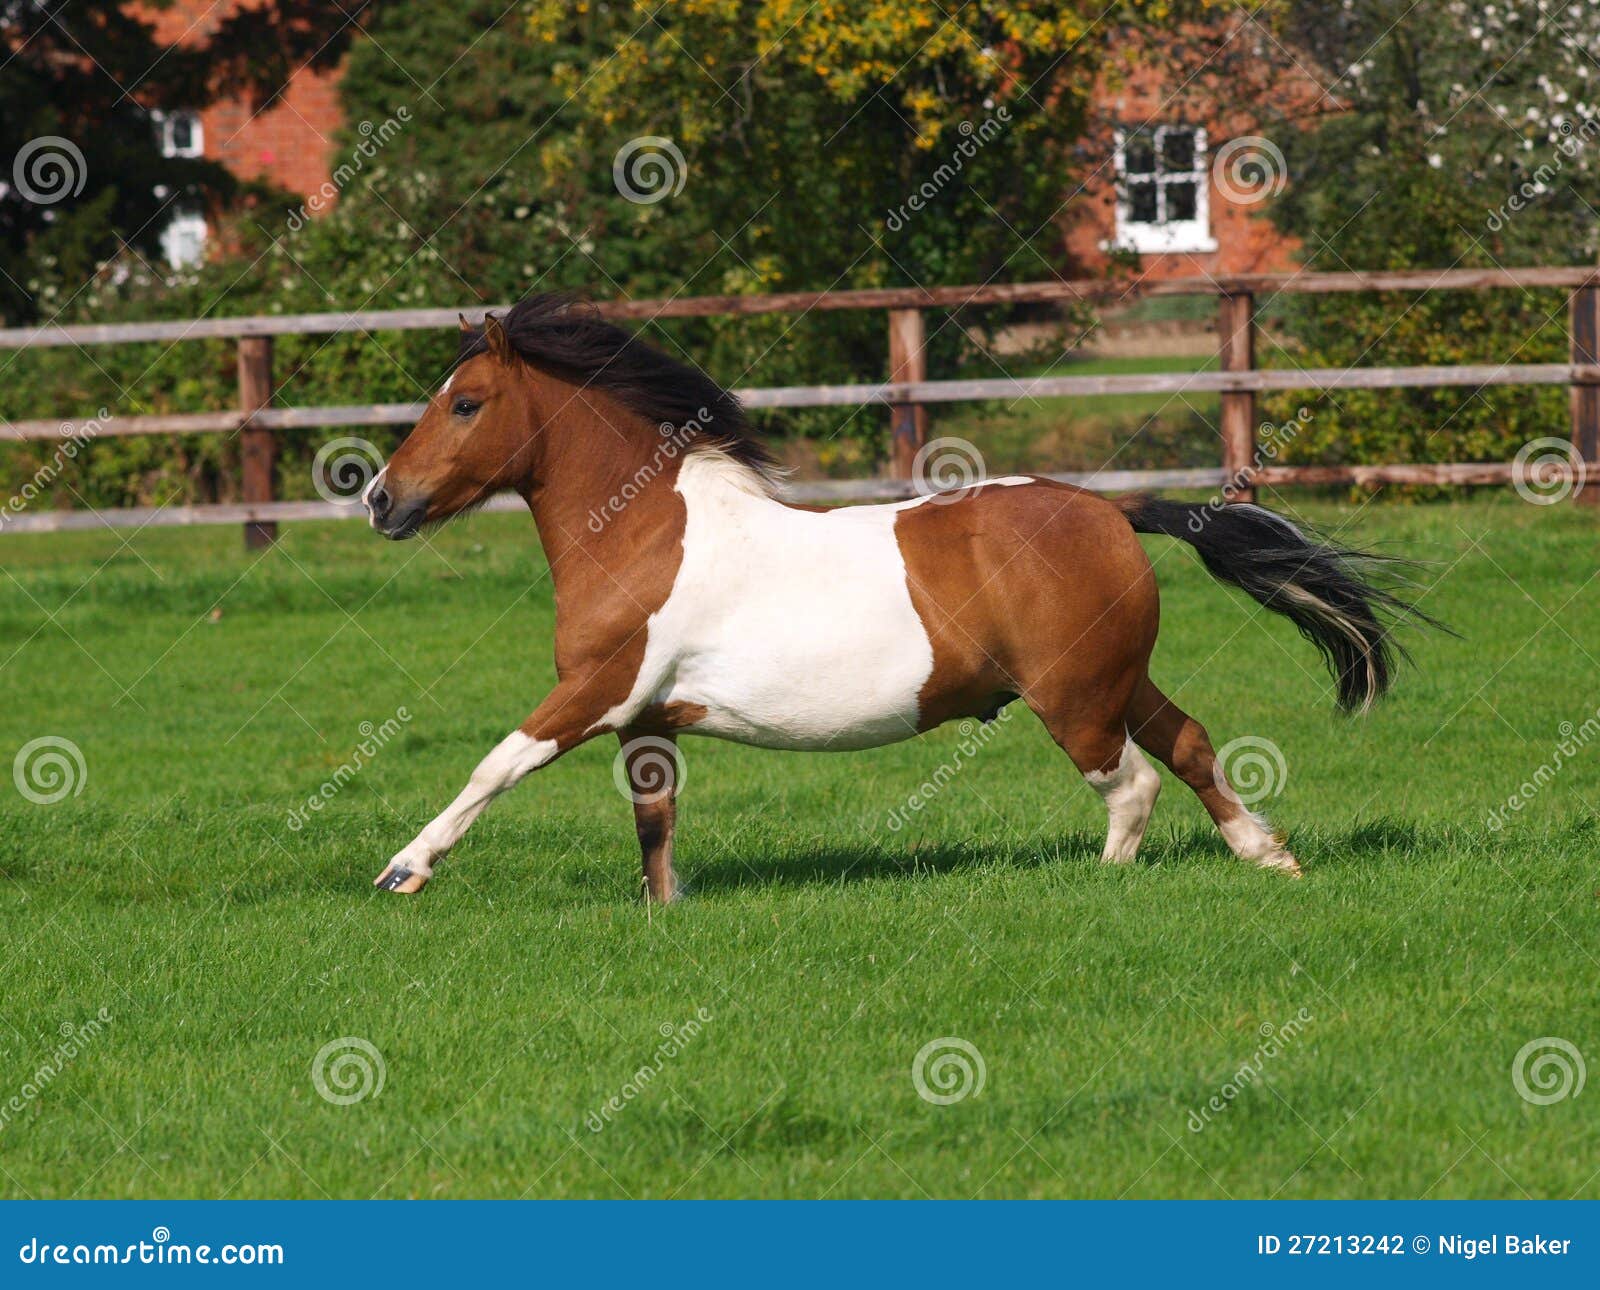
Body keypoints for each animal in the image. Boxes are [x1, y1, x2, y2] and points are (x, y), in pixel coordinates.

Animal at [362, 293, 1427, 901]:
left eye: (466, 403)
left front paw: (404, 868)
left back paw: (1105, 885)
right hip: (1115, 679)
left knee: (1132, 783)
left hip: (1073, 697)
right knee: (1193, 746)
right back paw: (1270, 858)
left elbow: (496, 764)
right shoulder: (645, 721)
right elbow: (655, 827)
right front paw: (665, 913)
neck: (644, 532)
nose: (379, 499)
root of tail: (1111, 512)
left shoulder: (598, 691)